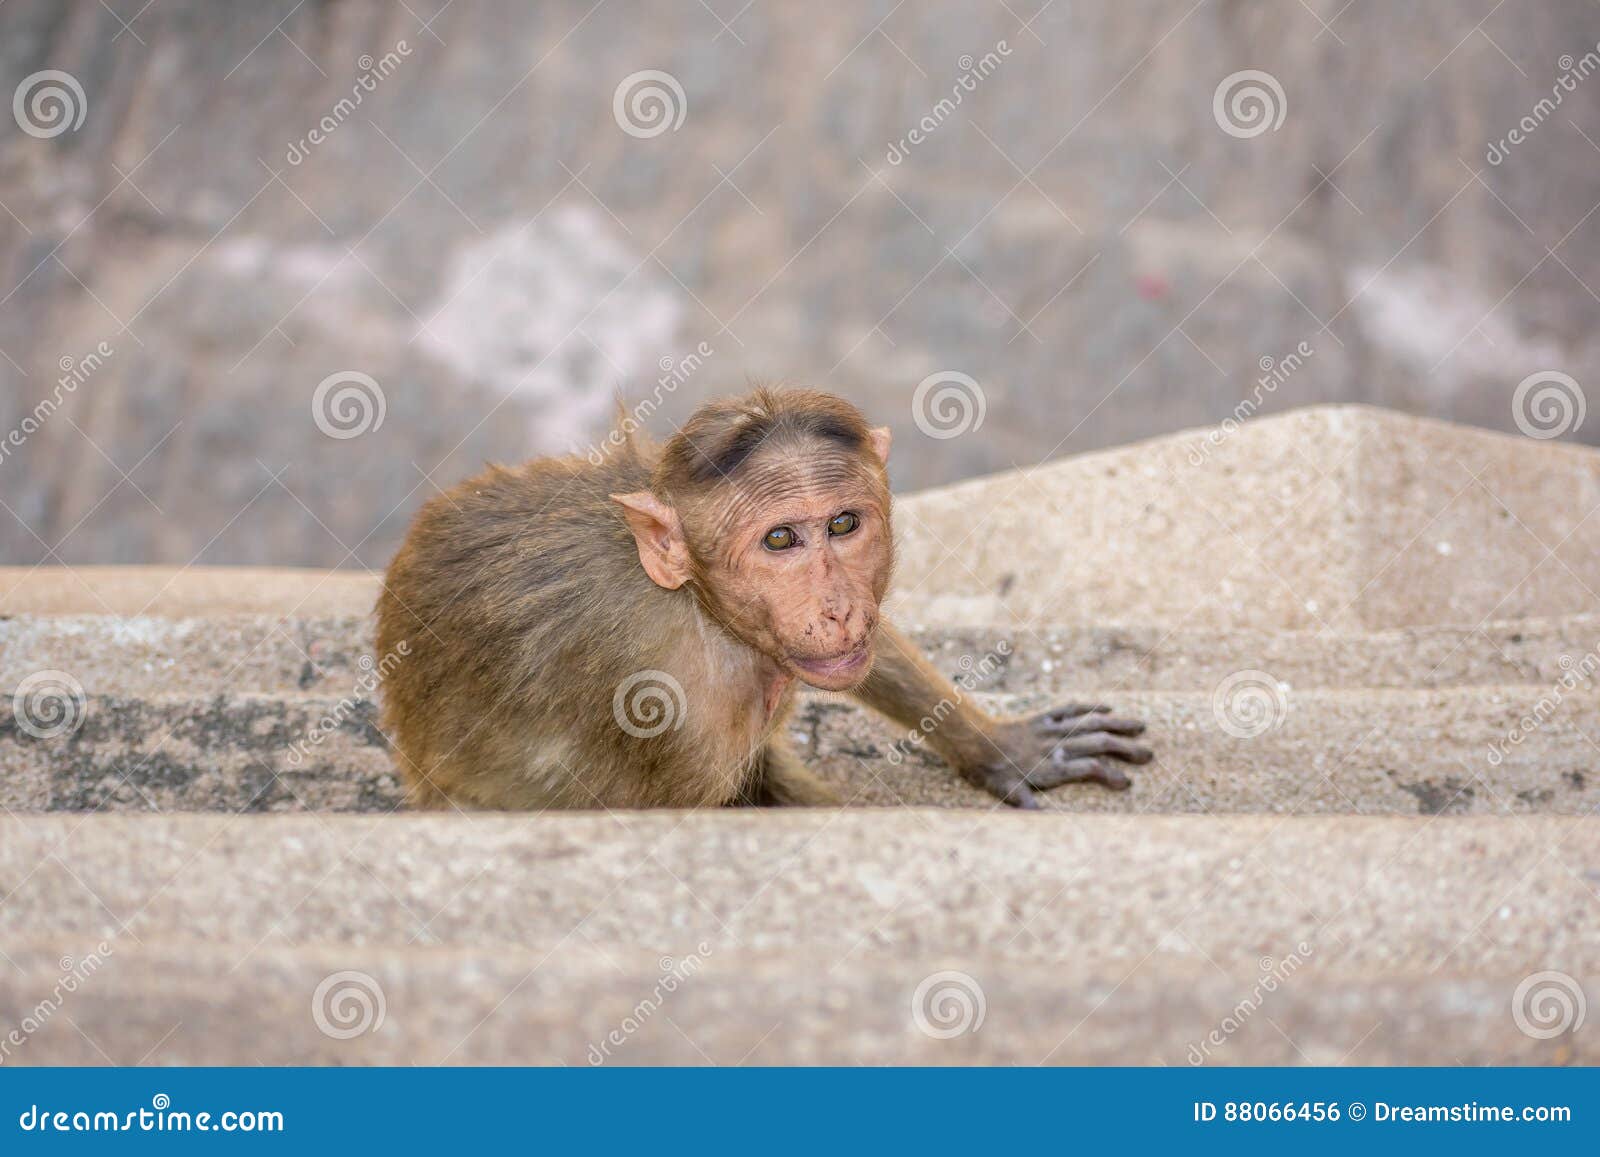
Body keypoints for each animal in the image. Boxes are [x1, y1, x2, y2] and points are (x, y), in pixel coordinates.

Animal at [374, 387, 1151, 811]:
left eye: (843, 524)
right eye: (780, 539)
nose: (838, 607)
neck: (701, 607)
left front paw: (1004, 747)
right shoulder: (665, 712)